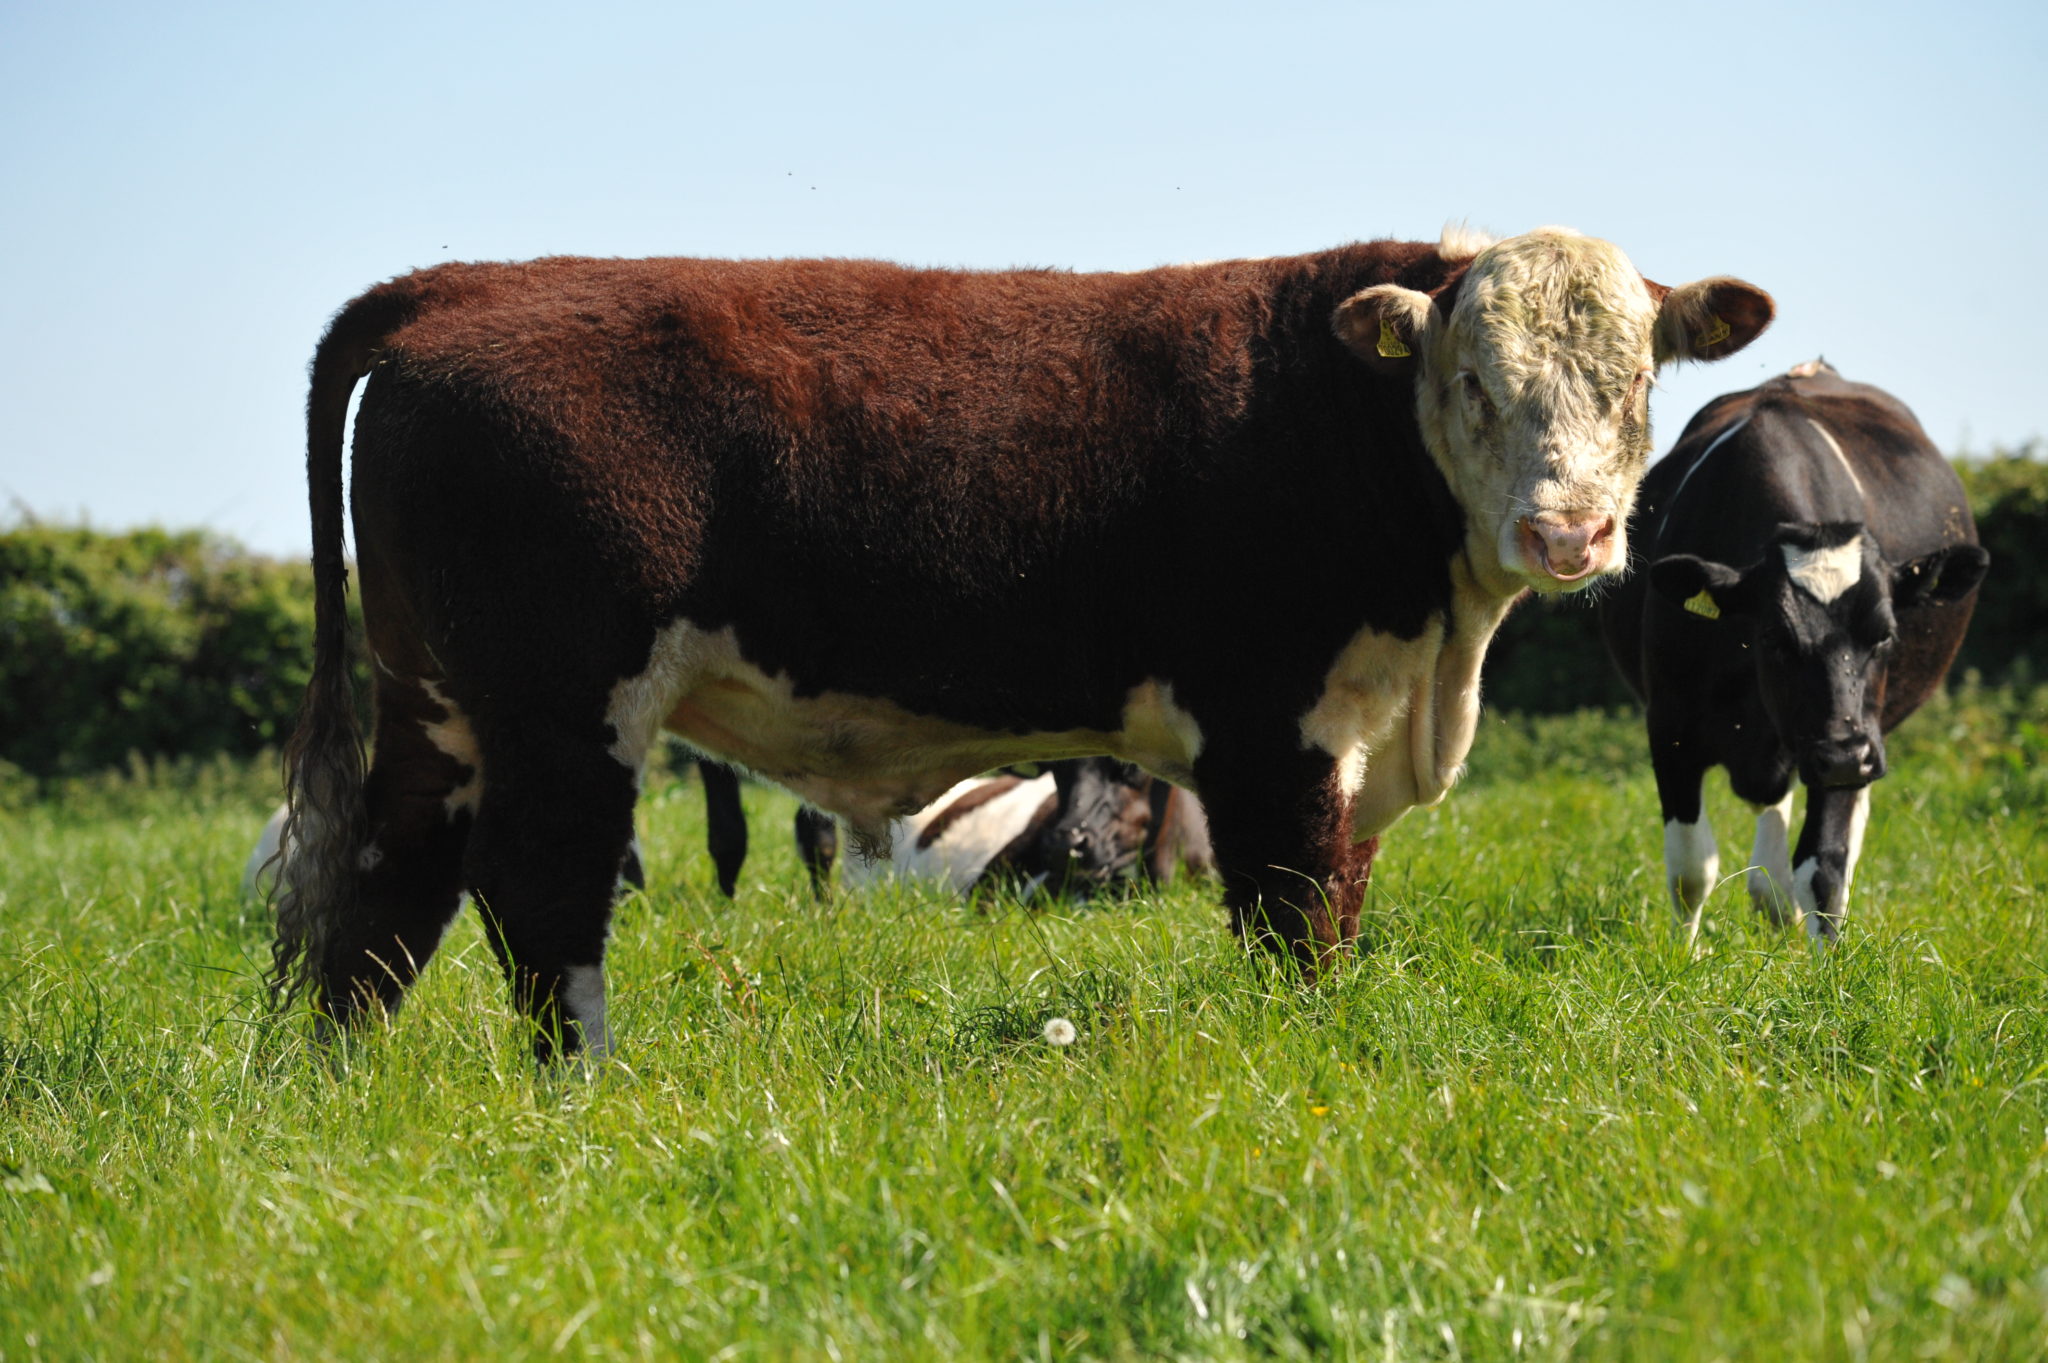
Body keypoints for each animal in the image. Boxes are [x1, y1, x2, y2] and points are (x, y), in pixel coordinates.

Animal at [270, 226, 1772, 1060]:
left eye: (1633, 385)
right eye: (1473, 381)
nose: (1570, 531)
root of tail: (462, 287)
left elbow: (1338, 898)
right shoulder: (1272, 726)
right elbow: (1297, 917)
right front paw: (1310, 1058)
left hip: (437, 701)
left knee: (379, 886)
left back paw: (332, 1080)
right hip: (560, 703)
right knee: (537, 890)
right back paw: (580, 1081)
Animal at [1598, 360, 1987, 941]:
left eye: (1885, 635)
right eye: (1774, 638)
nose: (1847, 754)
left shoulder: (1841, 746)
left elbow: (1825, 868)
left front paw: (1831, 965)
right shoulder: (1669, 724)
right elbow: (1691, 869)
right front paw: (1682, 957)